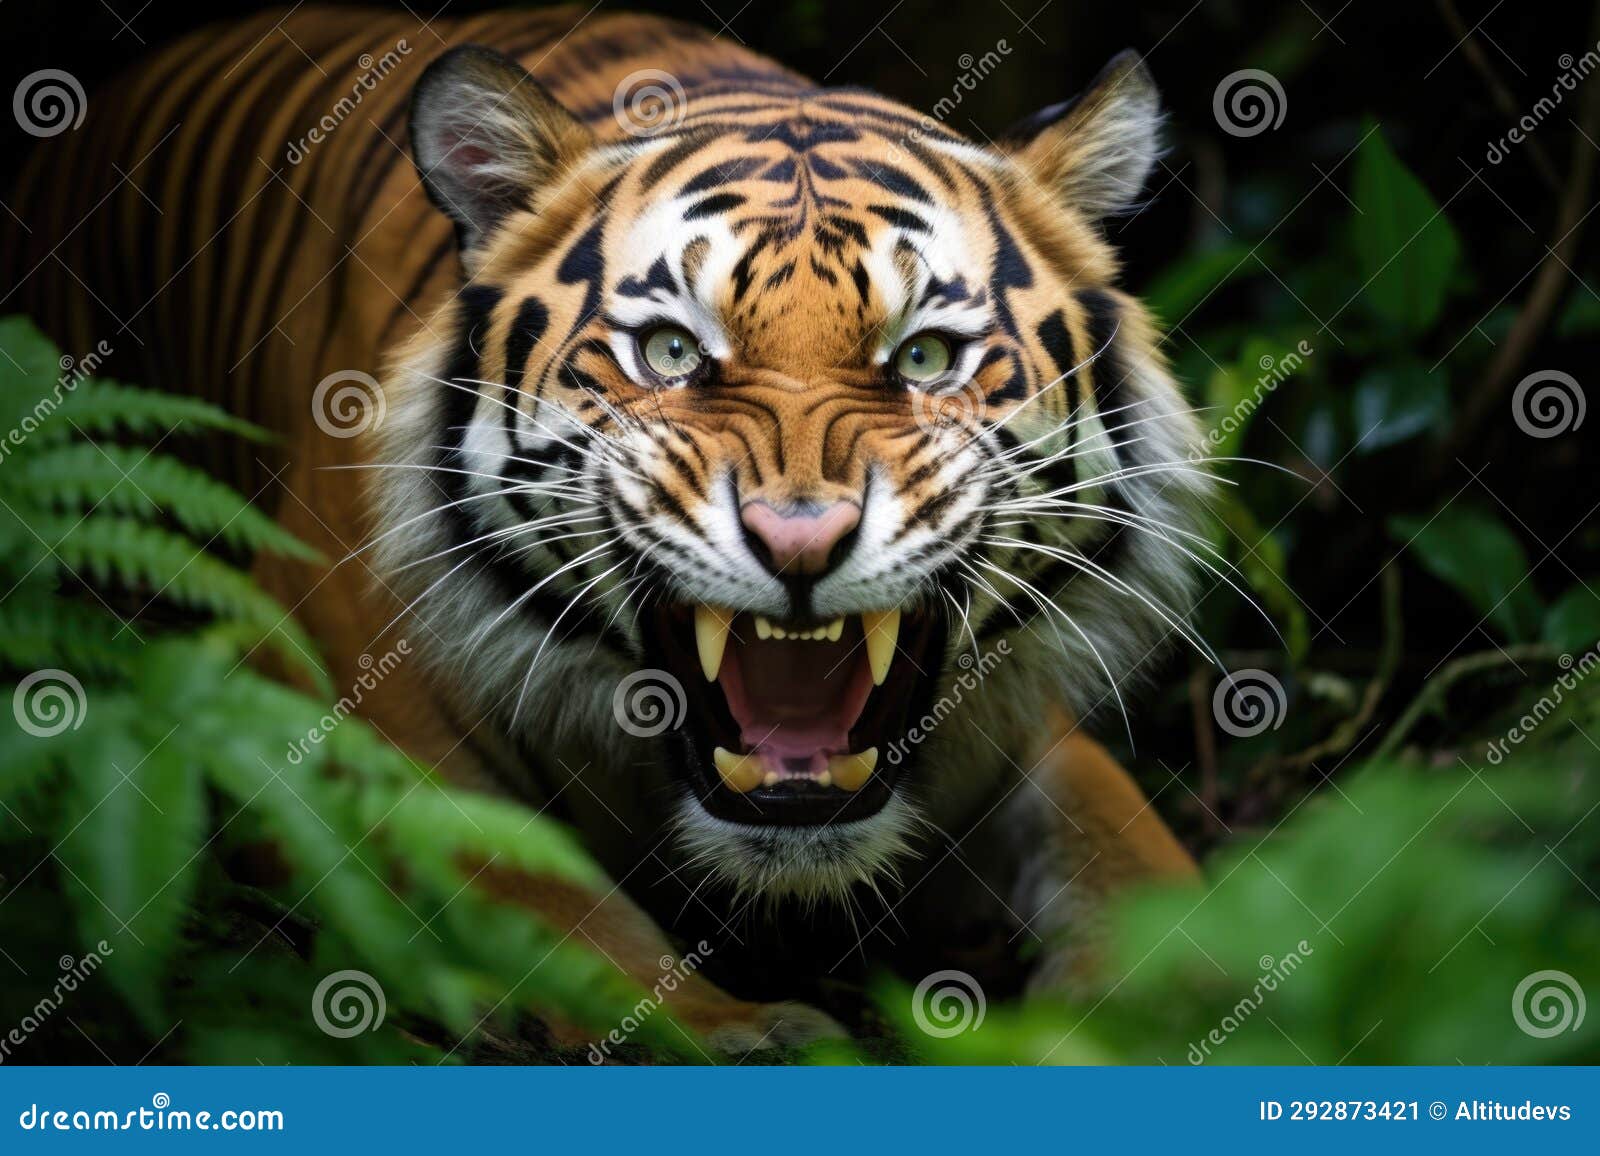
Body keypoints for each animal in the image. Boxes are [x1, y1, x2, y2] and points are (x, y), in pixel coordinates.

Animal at [6, 5, 1209, 1054]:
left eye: (923, 356)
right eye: (671, 351)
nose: (802, 542)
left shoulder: (1024, 736)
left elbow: (1144, 879)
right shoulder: (306, 691)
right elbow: (531, 899)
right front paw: (730, 1034)